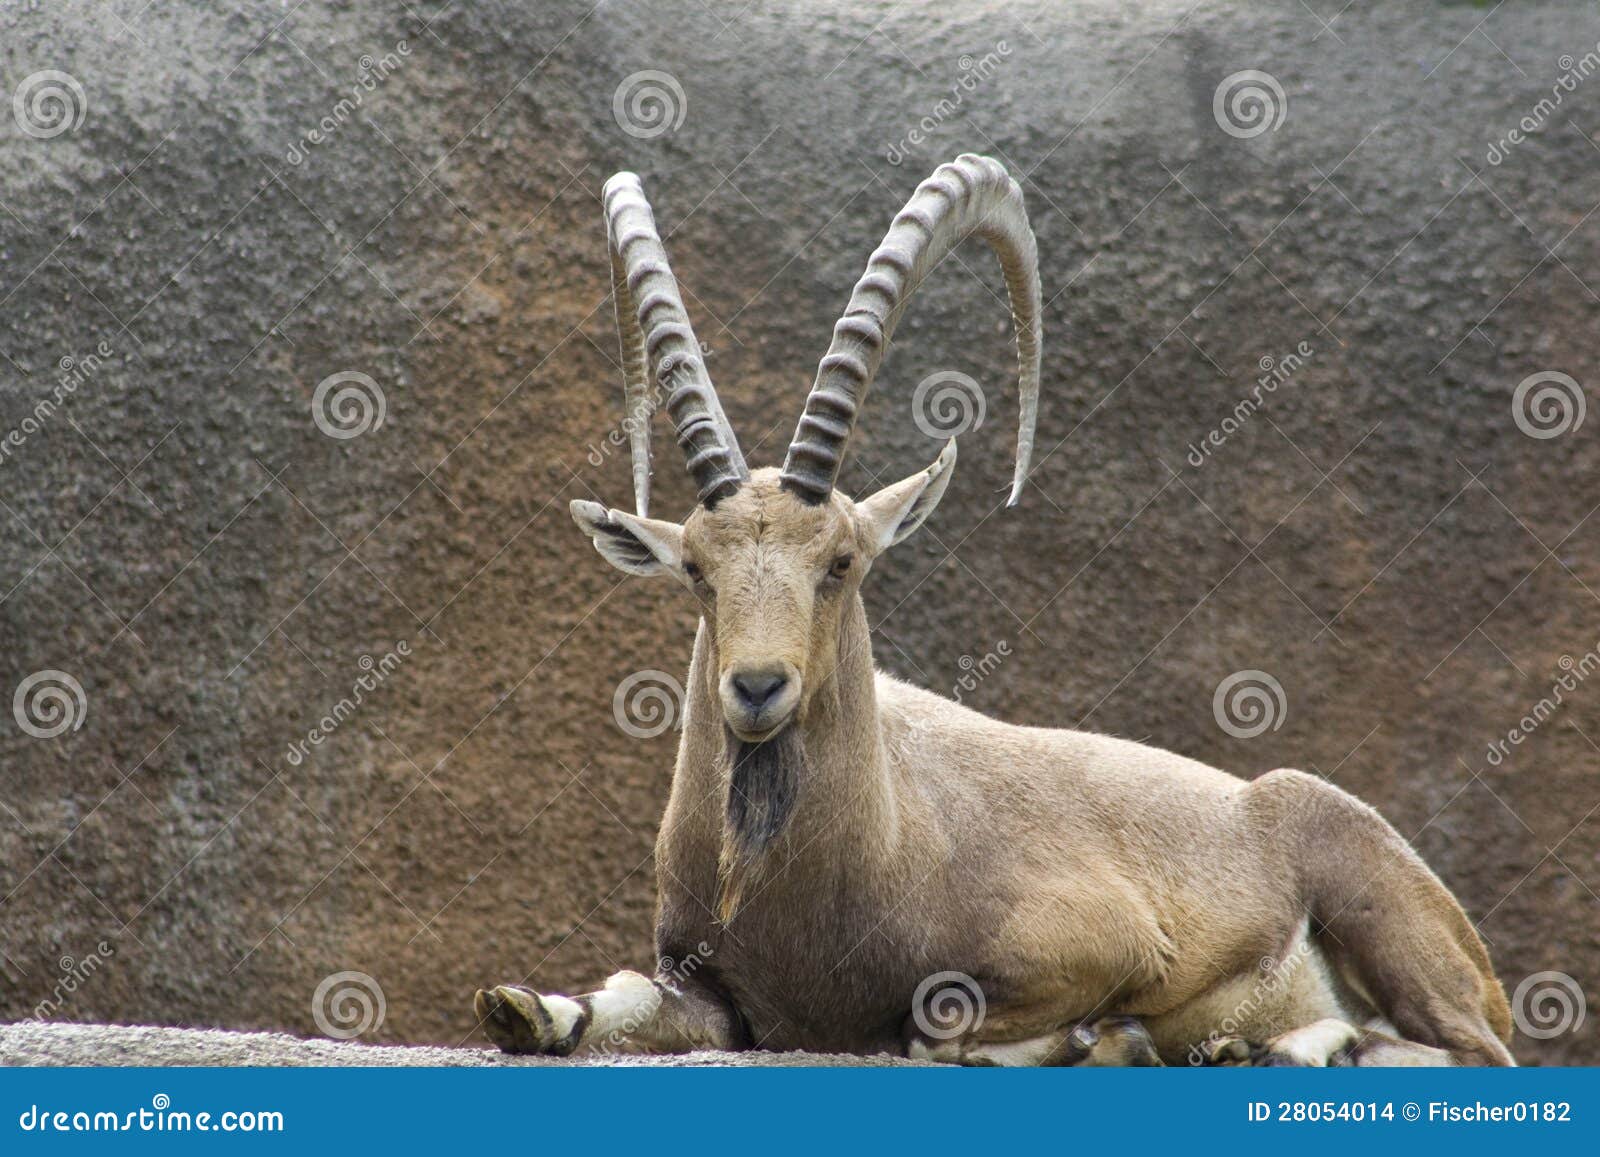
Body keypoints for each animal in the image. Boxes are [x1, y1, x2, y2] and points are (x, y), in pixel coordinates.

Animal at [474, 154, 1514, 1067]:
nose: (758, 686)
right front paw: (529, 1008)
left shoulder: (1105, 939)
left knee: (1465, 1048)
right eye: (695, 566)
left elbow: (937, 1026)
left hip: (1383, 909)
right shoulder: (711, 981)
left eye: (841, 560)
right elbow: (628, 995)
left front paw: (1111, 1038)